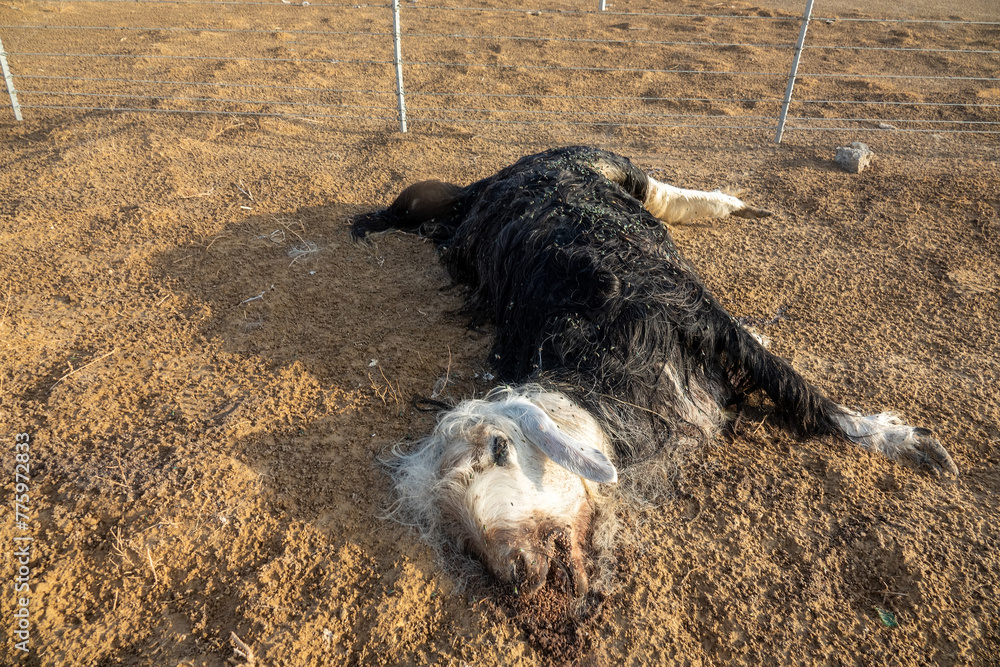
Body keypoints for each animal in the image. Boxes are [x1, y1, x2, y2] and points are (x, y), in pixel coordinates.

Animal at [351, 145, 958, 597]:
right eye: (450, 519)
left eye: (501, 449)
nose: (514, 571)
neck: (610, 361)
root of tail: (507, 172)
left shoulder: (702, 315)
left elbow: (798, 389)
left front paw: (903, 440)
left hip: (608, 164)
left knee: (659, 190)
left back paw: (738, 206)